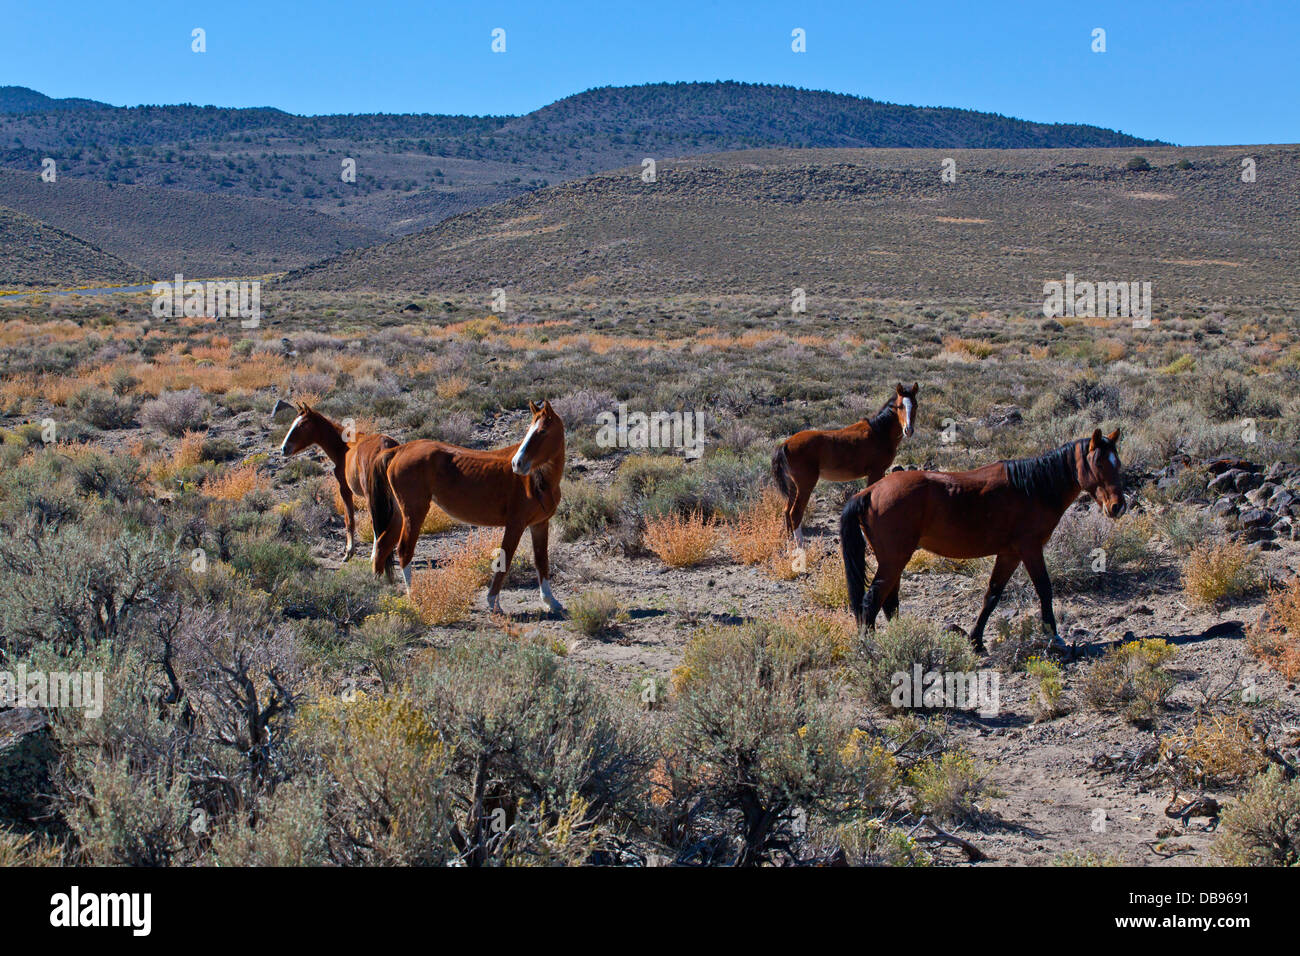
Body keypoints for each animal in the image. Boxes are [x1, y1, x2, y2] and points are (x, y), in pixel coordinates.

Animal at [273, 399, 400, 561]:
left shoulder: (345, 490)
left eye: (302, 425)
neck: (344, 448)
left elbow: (349, 520)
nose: (283, 449)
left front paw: (348, 552)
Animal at [367, 400, 566, 614]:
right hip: (414, 512)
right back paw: (414, 597)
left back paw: (376, 587)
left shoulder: (539, 524)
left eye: (542, 431)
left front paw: (551, 601)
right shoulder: (515, 525)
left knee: (383, 544)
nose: (517, 464)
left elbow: (541, 560)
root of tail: (399, 450)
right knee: (404, 550)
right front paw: (493, 602)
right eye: (529, 430)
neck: (538, 479)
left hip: (400, 514)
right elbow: (505, 559)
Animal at [771, 383, 918, 546]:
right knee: (795, 513)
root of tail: (785, 444)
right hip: (805, 485)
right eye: (900, 406)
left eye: (915, 405)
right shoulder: (876, 472)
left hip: (793, 486)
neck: (879, 432)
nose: (908, 430)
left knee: (786, 511)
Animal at [840, 429, 1125, 652]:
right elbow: (1044, 588)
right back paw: (872, 648)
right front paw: (1053, 636)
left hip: (894, 560)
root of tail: (869, 492)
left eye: (1118, 464)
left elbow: (993, 594)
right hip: (894, 559)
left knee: (889, 602)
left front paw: (976, 641)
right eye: (1099, 464)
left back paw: (902, 638)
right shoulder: (1030, 548)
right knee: (872, 601)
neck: (1033, 488)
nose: (1118, 506)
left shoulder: (1010, 553)